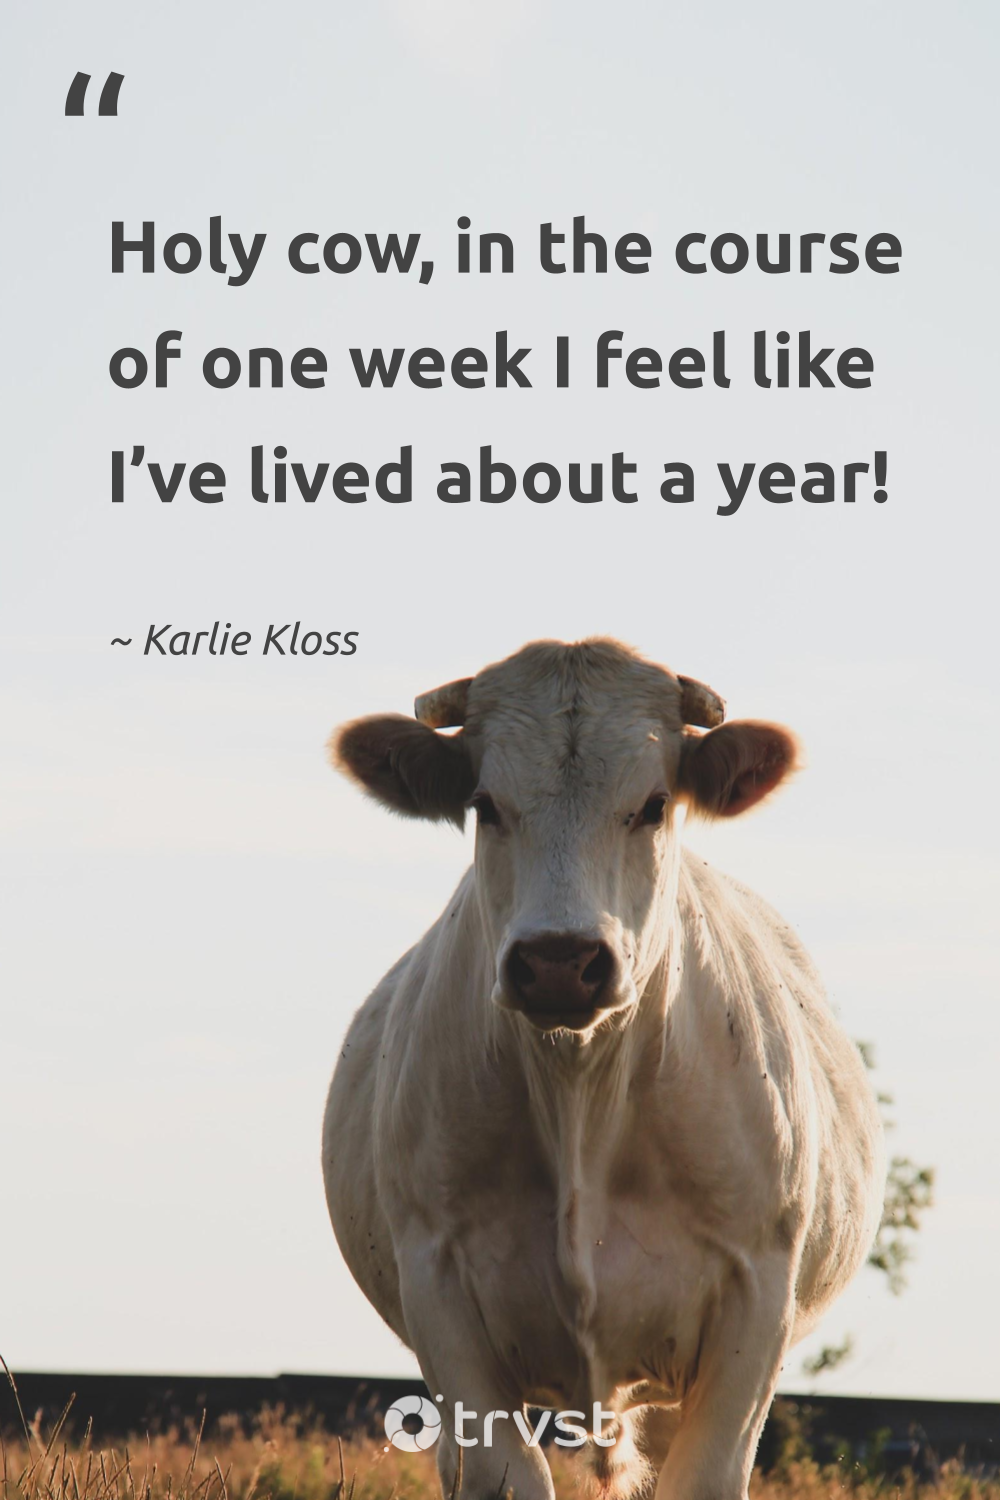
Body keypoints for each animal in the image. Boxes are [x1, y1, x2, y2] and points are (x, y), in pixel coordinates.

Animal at [322, 639, 885, 1500]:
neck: (580, 1092)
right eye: (485, 803)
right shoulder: (439, 1292)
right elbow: (506, 1475)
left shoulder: (755, 1300)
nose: (559, 961)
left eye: (653, 804)